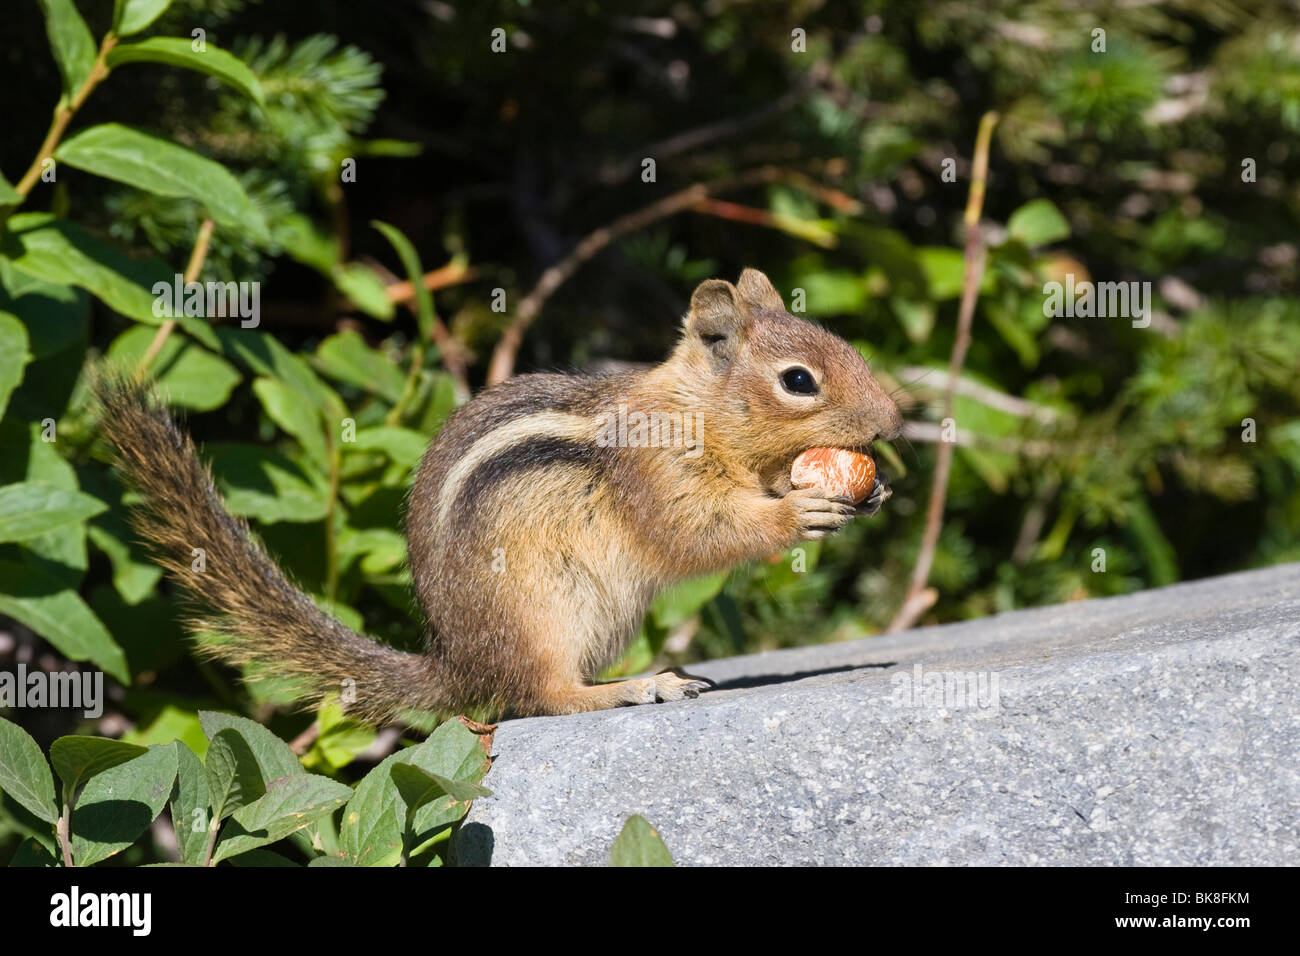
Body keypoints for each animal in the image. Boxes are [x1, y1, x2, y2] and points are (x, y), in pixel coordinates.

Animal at [96, 268, 903, 723]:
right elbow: (700, 535)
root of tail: (459, 664)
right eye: (798, 380)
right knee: (540, 697)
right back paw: (634, 689)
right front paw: (799, 511)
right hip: (544, 610)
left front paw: (868, 493)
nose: (894, 419)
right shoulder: (656, 476)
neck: (692, 409)